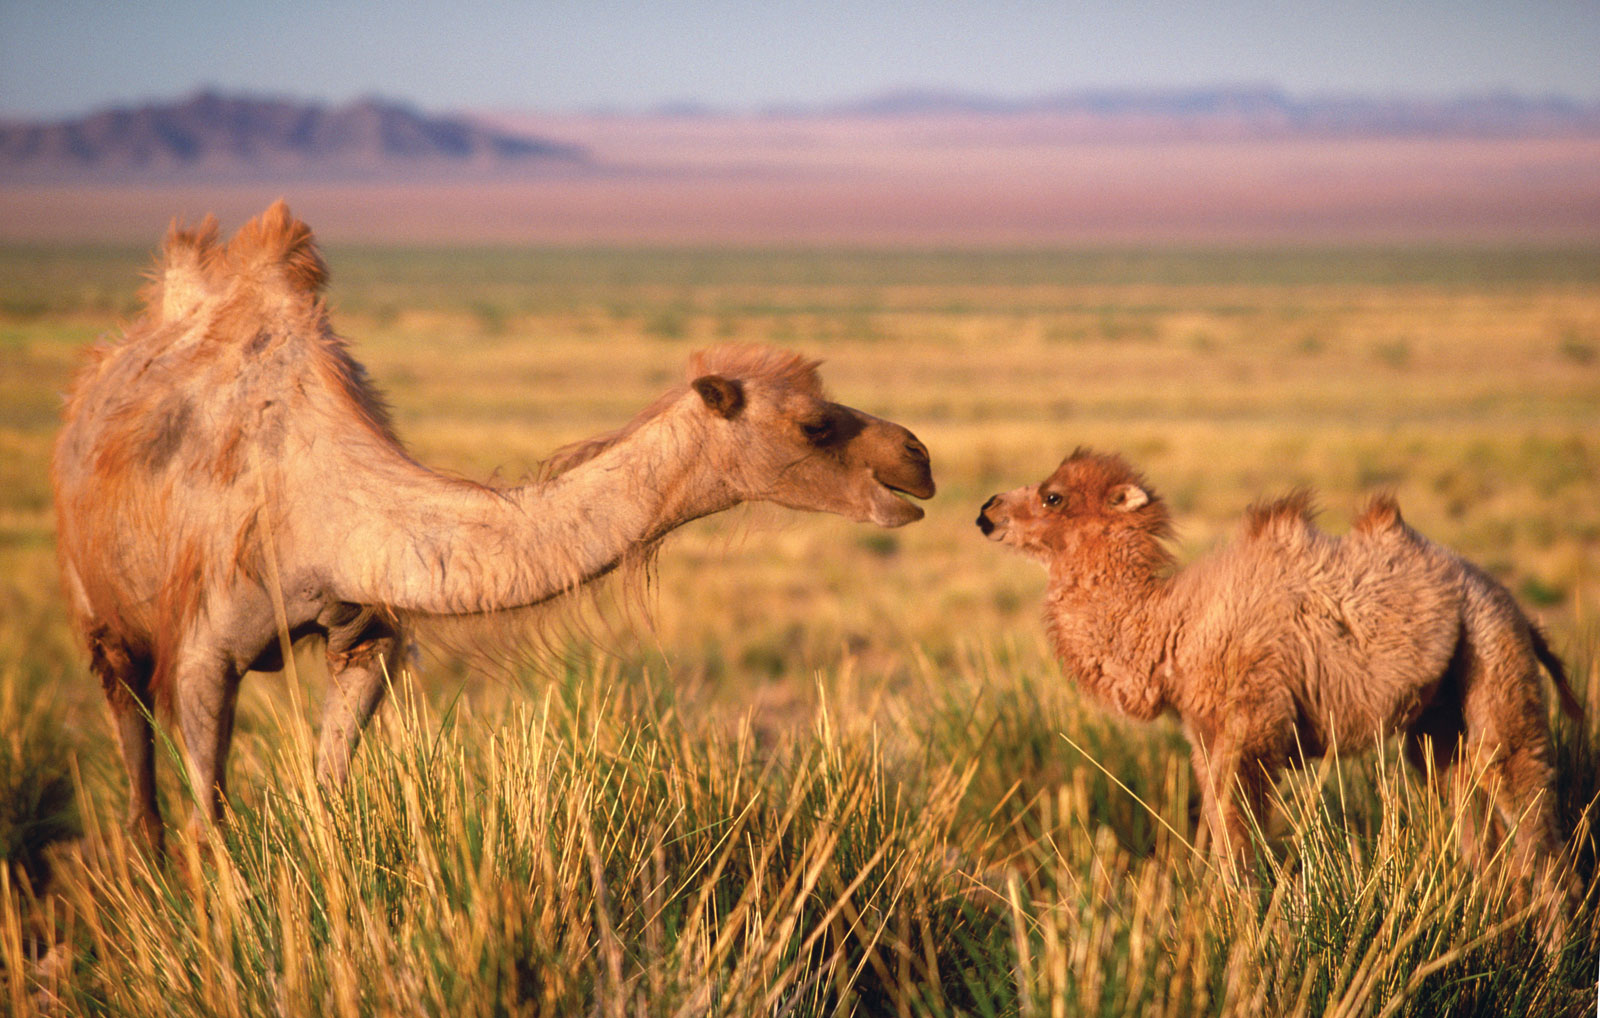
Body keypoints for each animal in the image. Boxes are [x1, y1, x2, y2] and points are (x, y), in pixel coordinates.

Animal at [52, 201, 935, 852]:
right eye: (816, 424)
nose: (917, 459)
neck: (319, 505)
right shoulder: (204, 653)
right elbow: (211, 827)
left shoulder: (366, 633)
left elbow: (329, 793)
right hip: (102, 616)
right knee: (137, 772)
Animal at [977, 448, 1583, 889]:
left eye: (1053, 496)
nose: (987, 511)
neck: (1173, 624)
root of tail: (1512, 605)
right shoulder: (1205, 737)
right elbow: (1224, 834)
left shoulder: (1250, 729)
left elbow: (1238, 847)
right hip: (1439, 724)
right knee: (1480, 832)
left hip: (1494, 661)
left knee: (1535, 828)